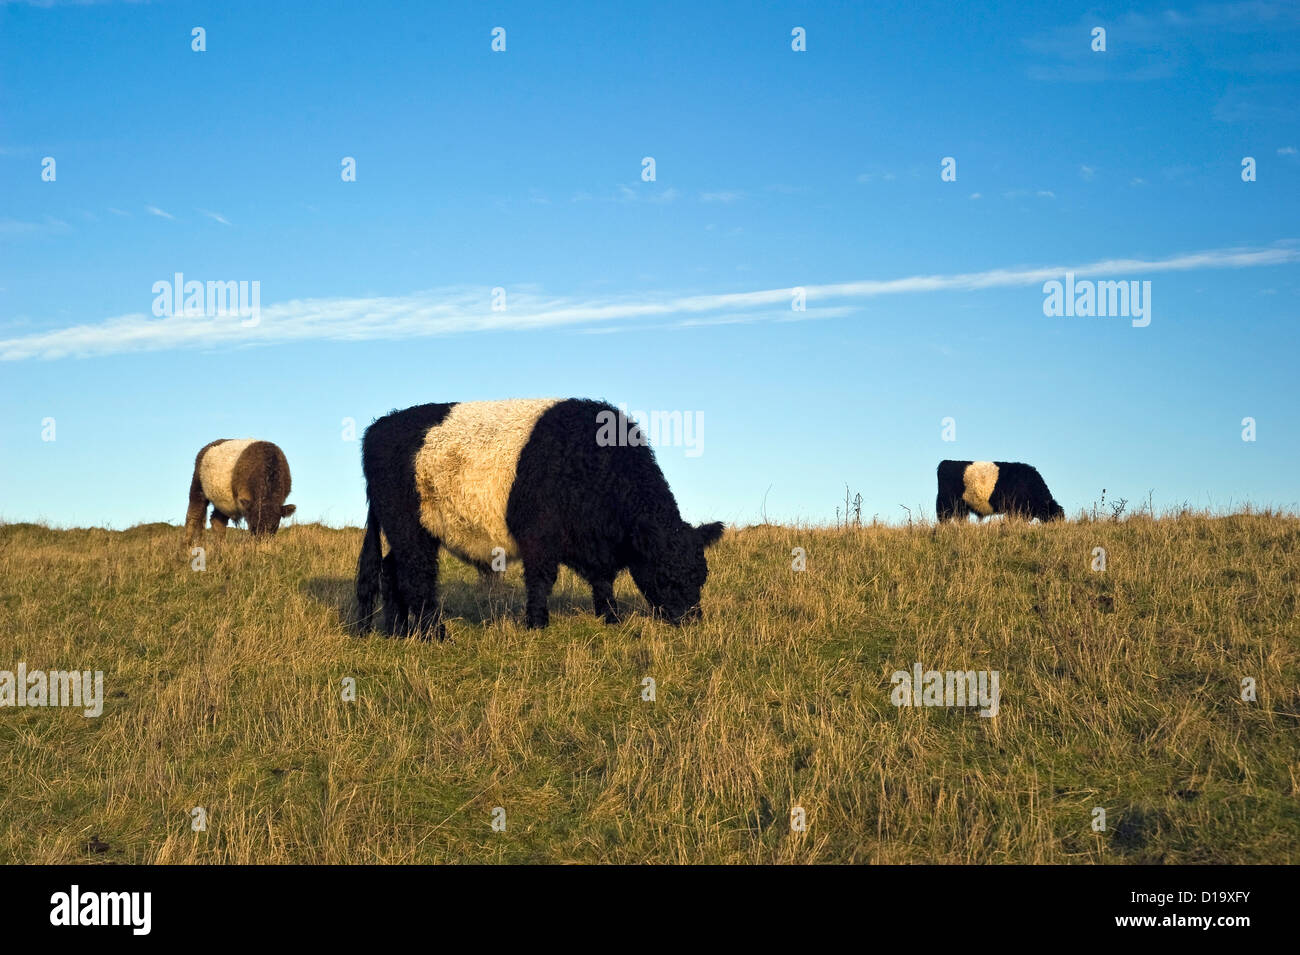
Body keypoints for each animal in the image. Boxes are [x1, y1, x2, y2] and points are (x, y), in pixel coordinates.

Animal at [355, 399, 724, 638]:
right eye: (665, 576)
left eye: (701, 576)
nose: (691, 621)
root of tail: (379, 426)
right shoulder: (539, 535)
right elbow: (542, 580)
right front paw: (537, 624)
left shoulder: (592, 541)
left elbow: (602, 581)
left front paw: (611, 618)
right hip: (409, 526)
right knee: (416, 575)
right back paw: (434, 633)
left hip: (408, 530)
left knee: (391, 570)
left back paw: (397, 631)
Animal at [936, 460, 1064, 522]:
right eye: (1056, 517)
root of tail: (945, 462)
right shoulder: (1015, 510)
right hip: (945, 504)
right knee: (944, 519)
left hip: (961, 507)